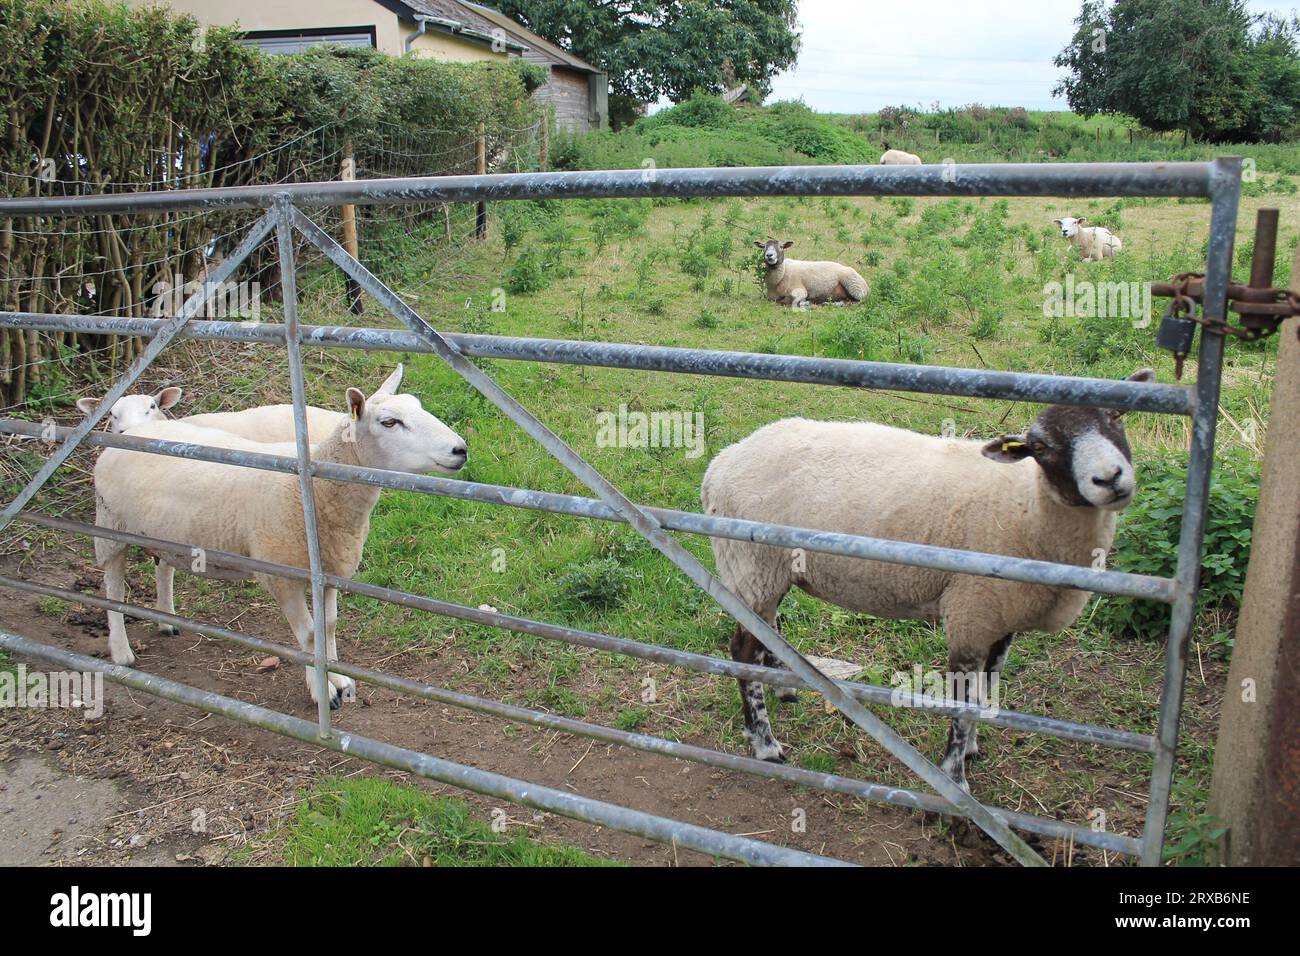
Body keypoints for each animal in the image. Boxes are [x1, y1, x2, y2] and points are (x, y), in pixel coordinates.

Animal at [92, 366, 468, 709]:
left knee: (163, 566)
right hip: (110, 527)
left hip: (163, 532)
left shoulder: (329, 570)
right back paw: (122, 652)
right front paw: (322, 691)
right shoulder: (281, 574)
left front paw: (339, 678)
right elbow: (310, 633)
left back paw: (165, 620)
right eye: (389, 422)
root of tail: (135, 430)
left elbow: (329, 626)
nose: (460, 449)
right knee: (113, 588)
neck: (319, 489)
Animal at [700, 369, 1153, 789]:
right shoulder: (971, 613)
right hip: (752, 564)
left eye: (1116, 415)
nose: (1110, 479)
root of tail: (721, 463)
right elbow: (963, 702)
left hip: (765, 572)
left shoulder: (1001, 616)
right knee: (743, 649)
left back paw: (784, 686)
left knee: (767, 630)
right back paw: (764, 743)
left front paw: (971, 748)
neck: (1028, 507)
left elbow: (987, 686)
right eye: (1040, 447)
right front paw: (955, 778)